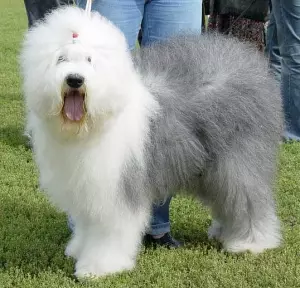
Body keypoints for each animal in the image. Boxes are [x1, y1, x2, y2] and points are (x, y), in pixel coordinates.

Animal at [20, 5, 284, 280]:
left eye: (90, 60)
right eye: (60, 59)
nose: (74, 80)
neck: (92, 125)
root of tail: (252, 63)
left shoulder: (118, 187)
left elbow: (108, 231)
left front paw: (98, 267)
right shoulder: (88, 187)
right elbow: (86, 223)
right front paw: (78, 248)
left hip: (237, 159)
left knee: (247, 196)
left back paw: (251, 243)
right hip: (210, 169)